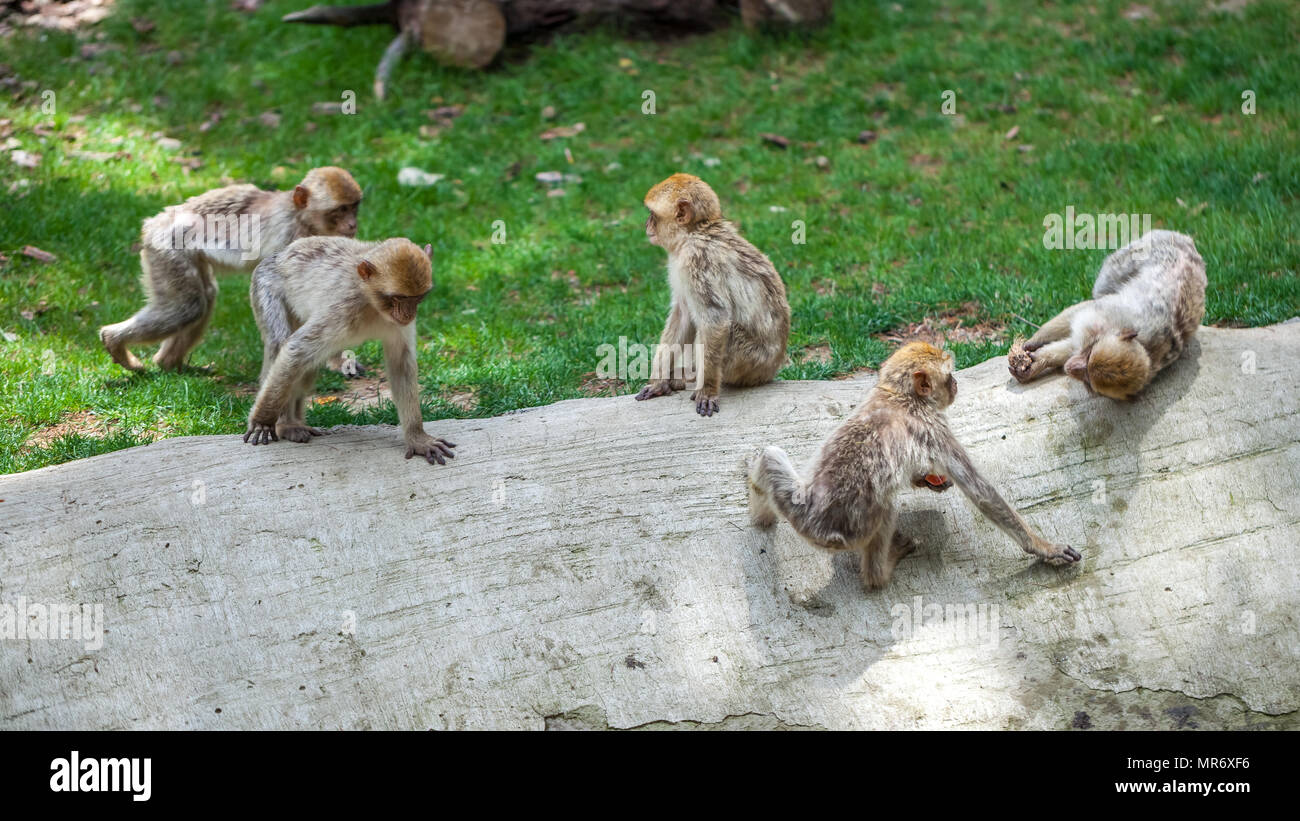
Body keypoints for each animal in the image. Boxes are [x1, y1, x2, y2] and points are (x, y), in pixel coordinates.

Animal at [99, 166, 363, 372]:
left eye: (354, 207)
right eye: (340, 210)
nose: (352, 224)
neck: (301, 217)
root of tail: (155, 223)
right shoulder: (288, 237)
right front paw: (333, 361)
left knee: (205, 296)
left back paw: (169, 364)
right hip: (167, 247)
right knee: (188, 306)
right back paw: (113, 341)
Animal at [243, 236, 456, 465]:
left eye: (417, 298)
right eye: (397, 298)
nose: (409, 314)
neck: (371, 302)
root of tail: (279, 255)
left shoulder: (397, 325)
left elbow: (401, 365)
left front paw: (418, 438)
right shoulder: (343, 307)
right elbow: (294, 350)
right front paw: (262, 421)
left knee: (306, 368)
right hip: (266, 284)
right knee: (280, 345)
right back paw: (286, 425)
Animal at [634, 173, 791, 417]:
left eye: (653, 214)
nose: (647, 224)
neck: (695, 233)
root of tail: (771, 370)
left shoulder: (696, 262)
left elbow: (715, 319)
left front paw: (707, 390)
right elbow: (683, 315)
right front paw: (658, 382)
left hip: (751, 362)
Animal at [748, 341, 1080, 590]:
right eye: (949, 375)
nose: (957, 384)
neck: (899, 395)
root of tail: (809, 522)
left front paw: (925, 479)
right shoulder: (934, 426)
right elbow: (981, 492)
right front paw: (1043, 547)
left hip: (795, 500)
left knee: (769, 457)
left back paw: (761, 513)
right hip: (853, 530)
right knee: (885, 508)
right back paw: (881, 572)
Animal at [1008, 230, 1207, 400]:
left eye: (1088, 380)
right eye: (1089, 355)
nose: (1070, 368)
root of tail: (1182, 238)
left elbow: (1070, 347)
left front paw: (1038, 361)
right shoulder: (1104, 315)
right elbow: (1082, 311)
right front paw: (1033, 342)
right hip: (1131, 256)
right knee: (1102, 288)